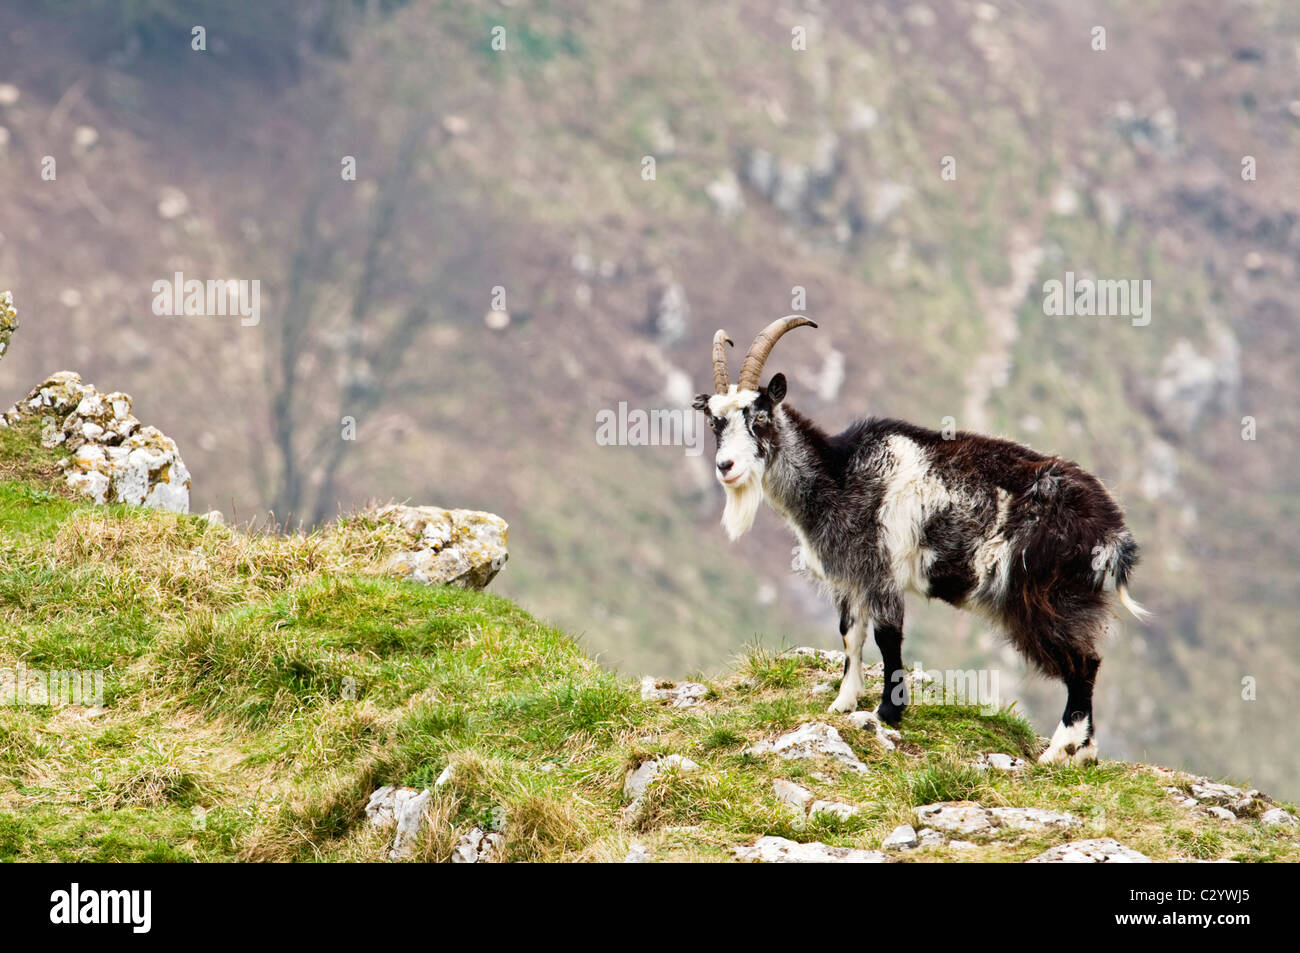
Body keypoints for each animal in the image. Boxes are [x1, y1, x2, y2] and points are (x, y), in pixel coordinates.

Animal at [694, 317, 1147, 765]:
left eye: (760, 417)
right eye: (715, 422)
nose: (726, 466)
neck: (838, 474)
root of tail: (1112, 531)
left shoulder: (881, 573)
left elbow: (886, 638)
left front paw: (887, 712)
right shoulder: (850, 578)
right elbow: (850, 635)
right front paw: (843, 703)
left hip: (1048, 599)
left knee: (1083, 663)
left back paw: (1058, 750)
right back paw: (1084, 753)